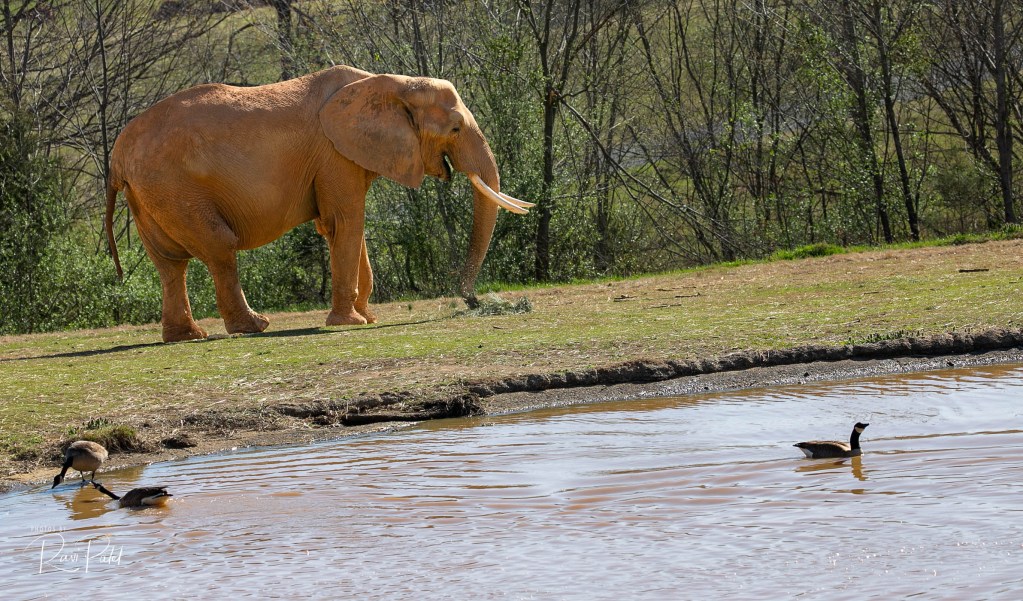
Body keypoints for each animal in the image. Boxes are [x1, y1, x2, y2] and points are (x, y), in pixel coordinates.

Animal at [104, 65, 532, 343]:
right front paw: (351, 323)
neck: (395, 84)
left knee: (169, 264)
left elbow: (341, 227)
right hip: (175, 189)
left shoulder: (345, 156)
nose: (472, 300)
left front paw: (367, 317)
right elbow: (346, 222)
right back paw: (254, 327)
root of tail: (116, 158)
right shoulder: (333, 155)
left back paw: (186, 336)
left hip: (151, 196)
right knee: (219, 247)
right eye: (455, 129)